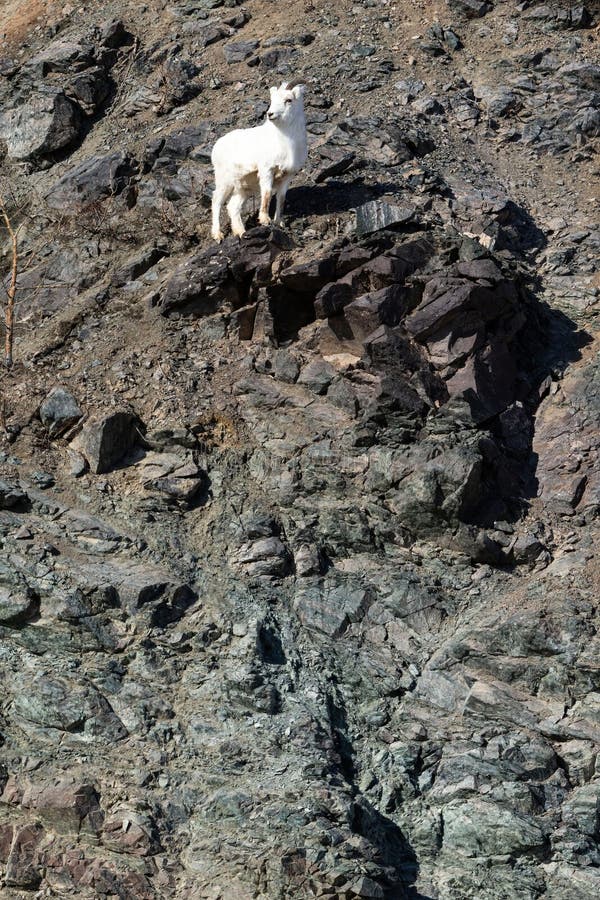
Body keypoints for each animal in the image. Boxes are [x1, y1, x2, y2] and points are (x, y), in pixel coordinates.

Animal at [211, 80, 308, 242]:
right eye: (272, 100)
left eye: (288, 100)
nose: (270, 114)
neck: (287, 143)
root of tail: (216, 147)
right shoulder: (267, 170)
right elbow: (267, 193)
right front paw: (265, 220)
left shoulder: (288, 176)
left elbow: (281, 198)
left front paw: (279, 222)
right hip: (225, 183)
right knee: (216, 201)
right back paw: (218, 235)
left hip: (243, 189)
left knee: (233, 207)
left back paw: (241, 233)